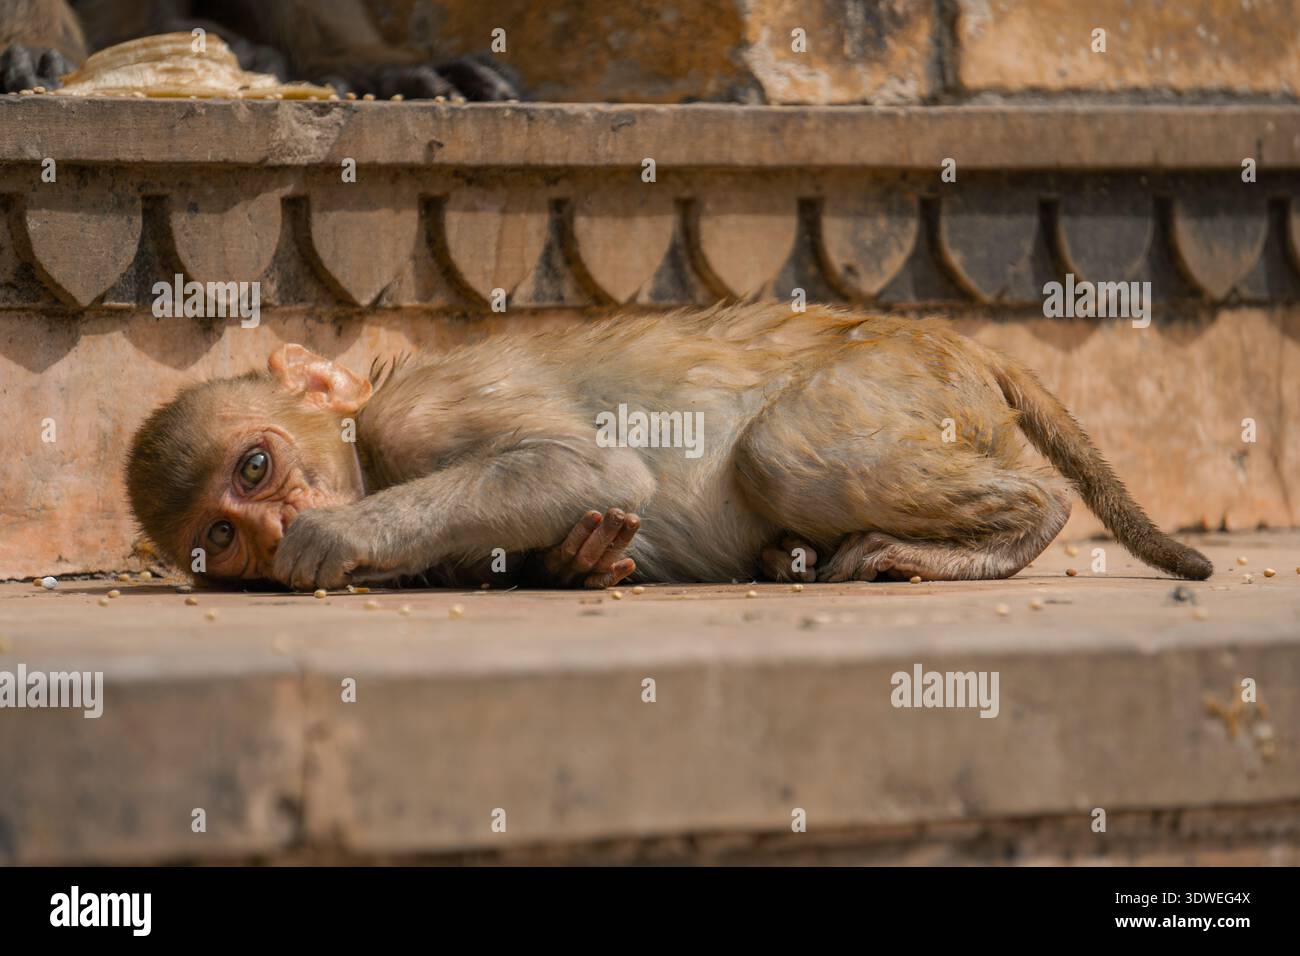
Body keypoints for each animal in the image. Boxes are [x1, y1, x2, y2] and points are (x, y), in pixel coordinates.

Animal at [124, 303, 1212, 591]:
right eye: (221, 537)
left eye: (257, 466)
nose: (275, 529)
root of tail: (961, 342)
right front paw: (579, 560)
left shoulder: (428, 413)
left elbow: (593, 468)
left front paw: (338, 535)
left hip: (900, 383)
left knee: (783, 451)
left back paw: (1015, 524)